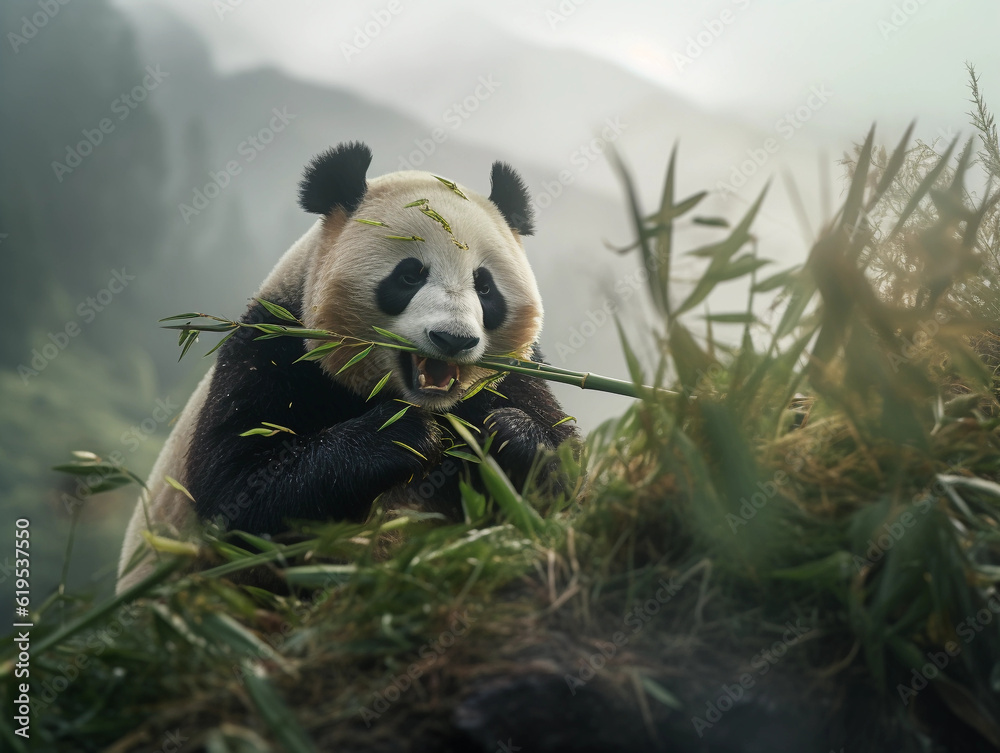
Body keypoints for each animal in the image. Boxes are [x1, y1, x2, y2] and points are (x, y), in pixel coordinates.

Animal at [116, 142, 577, 593]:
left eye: (484, 286)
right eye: (409, 275)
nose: (454, 339)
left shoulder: (516, 375)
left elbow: (568, 482)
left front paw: (510, 433)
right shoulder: (273, 348)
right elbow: (237, 495)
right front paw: (402, 435)